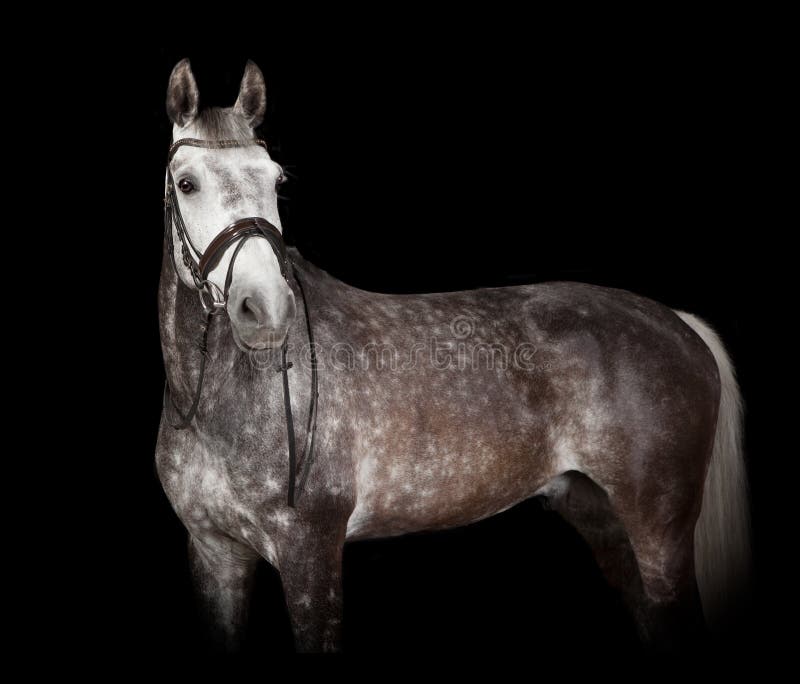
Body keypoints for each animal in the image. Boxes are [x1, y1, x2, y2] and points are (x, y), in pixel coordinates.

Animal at [156, 59, 751, 653]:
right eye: (187, 183)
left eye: (277, 179)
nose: (266, 307)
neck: (216, 400)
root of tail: (679, 322)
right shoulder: (215, 554)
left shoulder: (310, 553)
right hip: (606, 522)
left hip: (659, 534)